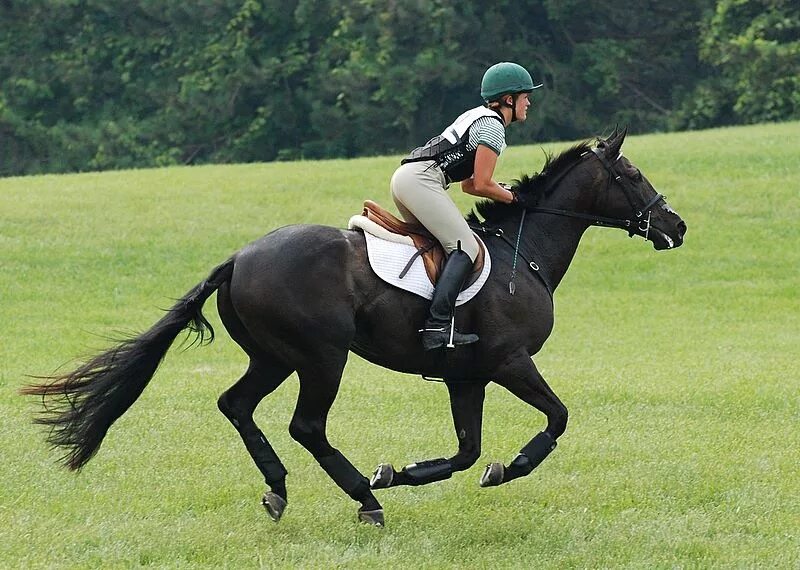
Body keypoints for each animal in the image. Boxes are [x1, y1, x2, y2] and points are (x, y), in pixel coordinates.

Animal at [25, 127, 688, 524]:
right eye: (632, 176)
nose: (675, 226)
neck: (521, 254)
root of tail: (239, 257)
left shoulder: (465, 376)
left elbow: (466, 451)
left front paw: (403, 472)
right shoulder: (509, 362)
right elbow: (556, 418)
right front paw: (510, 467)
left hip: (274, 357)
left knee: (236, 405)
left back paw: (281, 489)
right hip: (322, 356)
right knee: (306, 426)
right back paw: (364, 500)